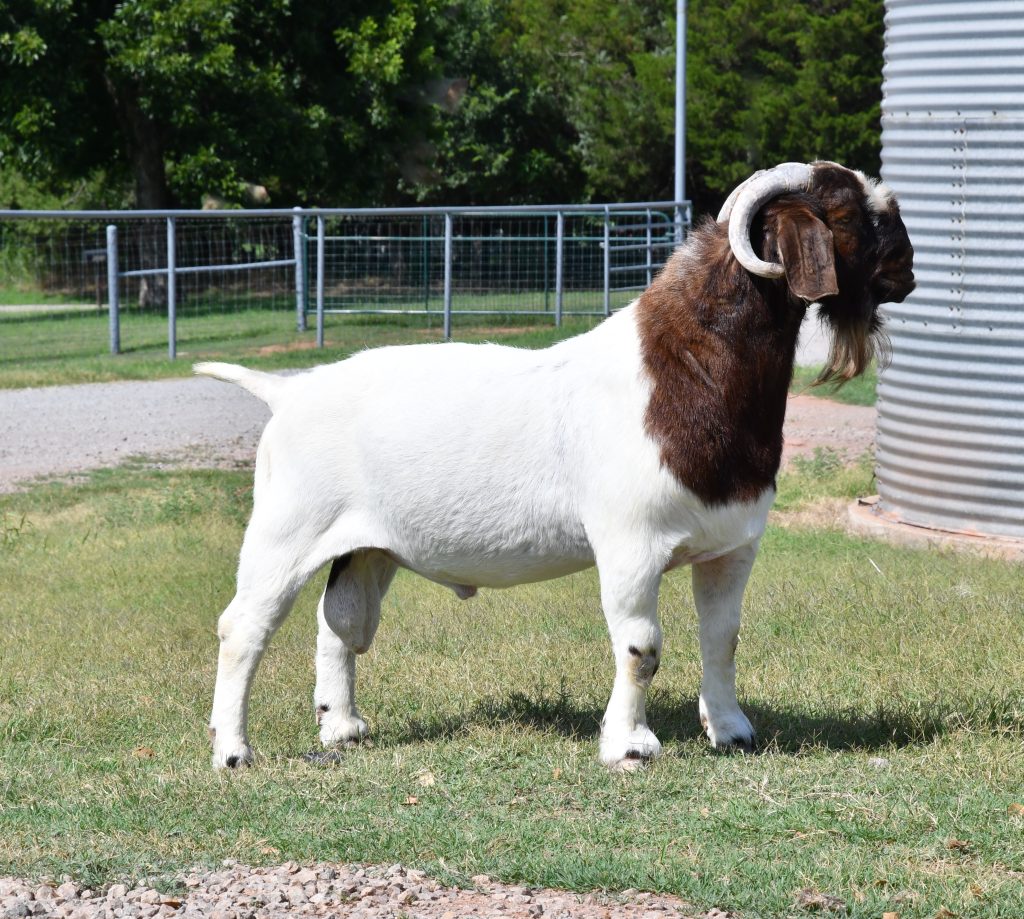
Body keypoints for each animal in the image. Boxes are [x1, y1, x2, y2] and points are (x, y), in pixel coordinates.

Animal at [195, 161, 915, 771]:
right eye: (849, 211)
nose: (908, 267)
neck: (684, 372)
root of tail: (287, 390)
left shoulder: (730, 545)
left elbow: (723, 637)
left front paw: (732, 730)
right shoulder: (630, 544)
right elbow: (641, 647)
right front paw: (629, 746)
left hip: (367, 546)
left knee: (339, 623)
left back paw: (341, 726)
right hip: (285, 529)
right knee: (243, 627)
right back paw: (233, 750)